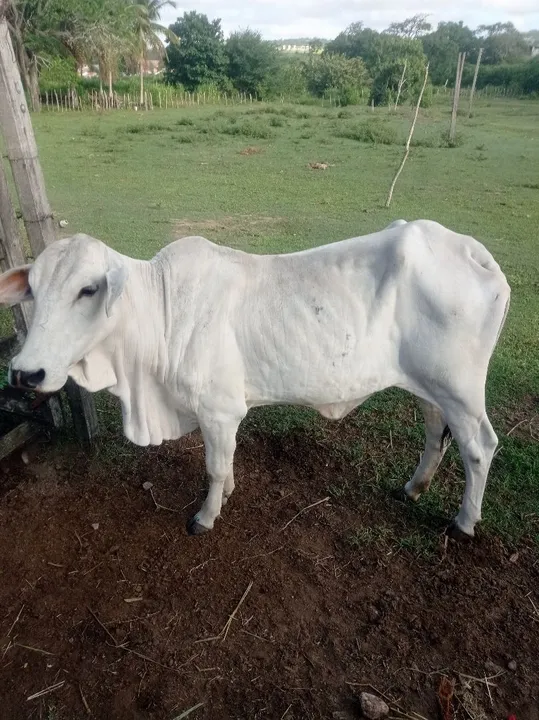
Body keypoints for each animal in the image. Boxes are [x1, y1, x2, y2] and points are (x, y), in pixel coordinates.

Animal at [0, 219, 510, 540]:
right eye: (34, 290)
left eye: (88, 290)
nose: (26, 372)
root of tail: (473, 251)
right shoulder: (221, 415)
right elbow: (224, 462)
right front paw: (225, 494)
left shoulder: (219, 409)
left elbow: (213, 465)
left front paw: (207, 515)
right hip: (428, 385)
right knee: (436, 434)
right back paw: (414, 487)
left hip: (461, 390)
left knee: (480, 448)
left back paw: (465, 522)